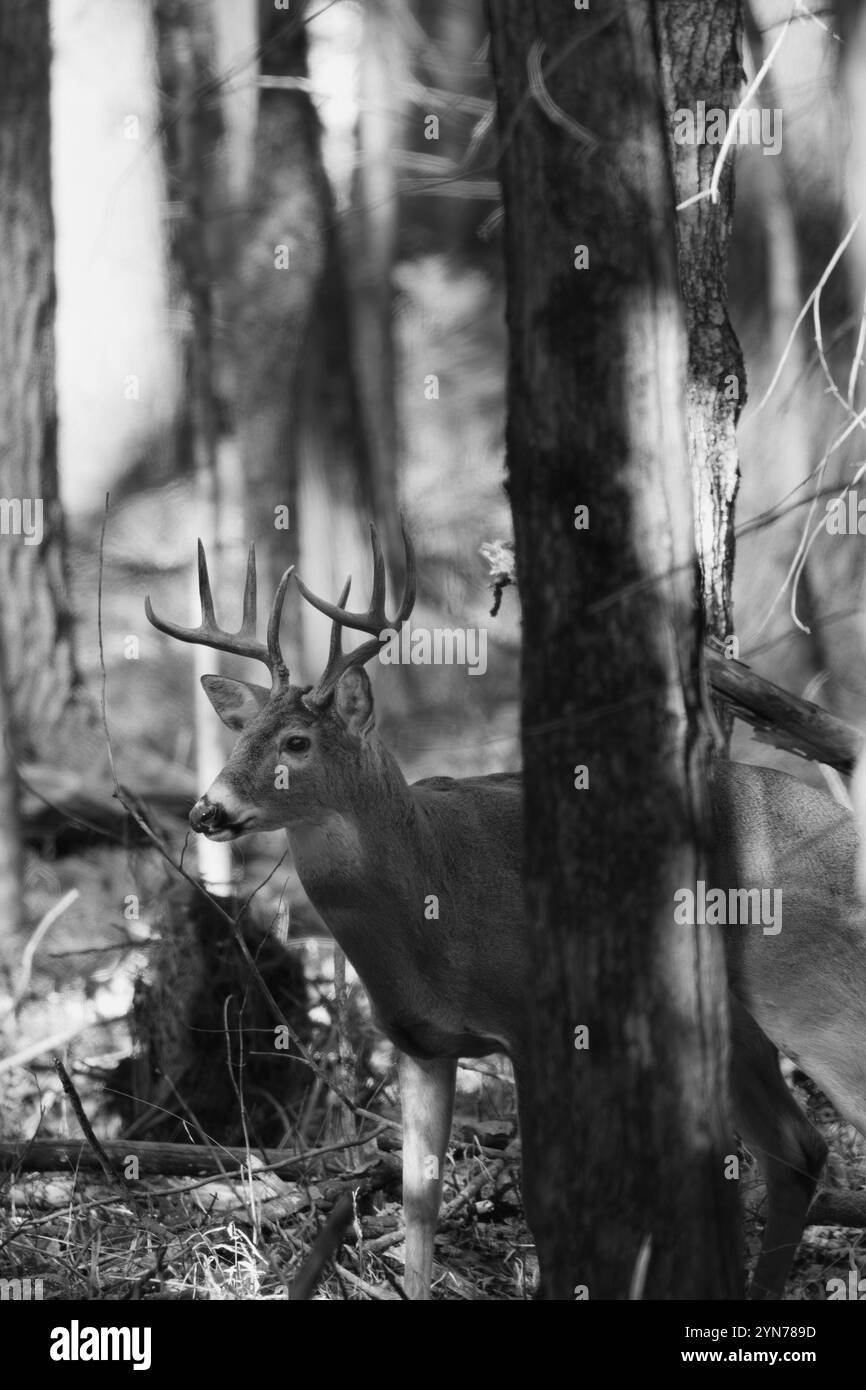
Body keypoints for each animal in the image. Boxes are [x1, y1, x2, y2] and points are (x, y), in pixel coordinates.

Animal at [146, 525, 866, 1300]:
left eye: (296, 742)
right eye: (243, 736)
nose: (206, 809)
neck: (432, 898)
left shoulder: (530, 1020)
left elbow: (542, 1195)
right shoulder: (420, 1041)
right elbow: (419, 1203)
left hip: (811, 988)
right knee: (798, 1150)